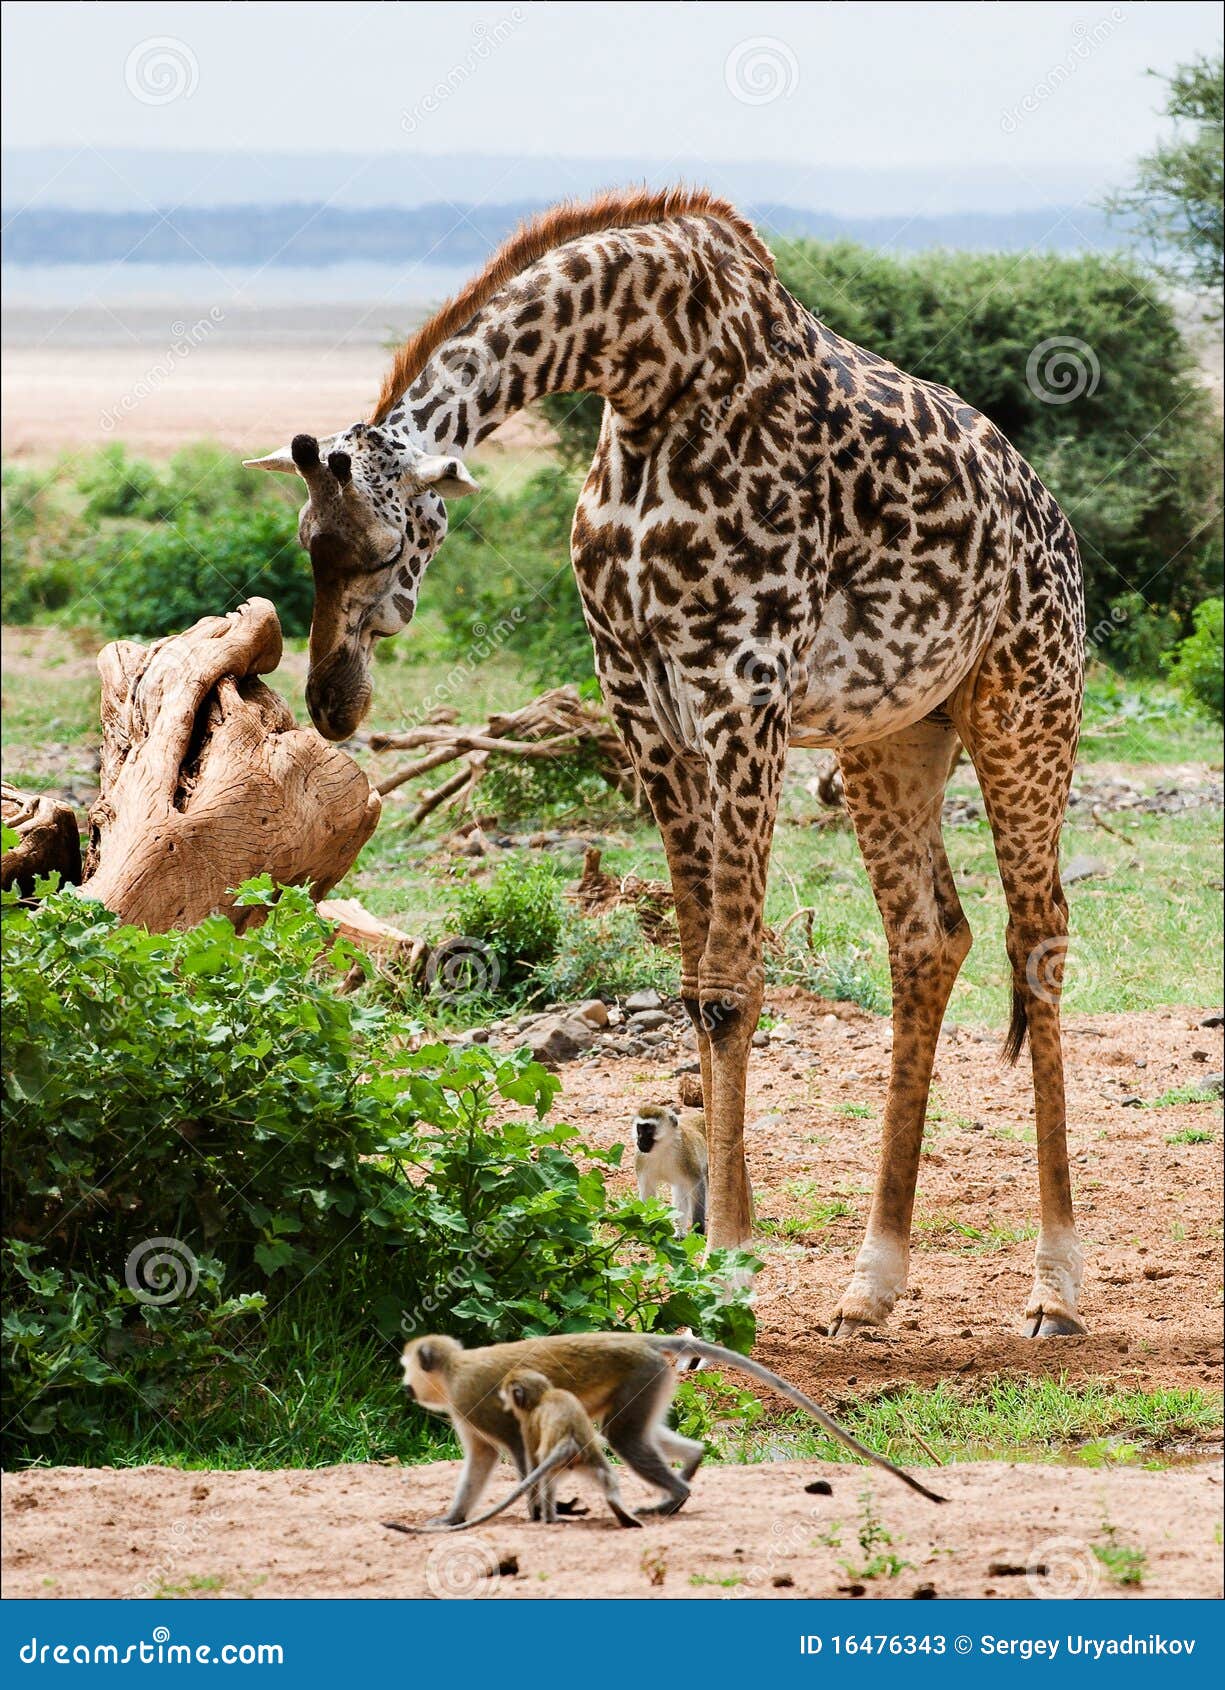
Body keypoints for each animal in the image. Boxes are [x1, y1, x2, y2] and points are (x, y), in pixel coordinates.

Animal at [389, 1331, 944, 1533]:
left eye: (407, 1367)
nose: (404, 1384)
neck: (454, 1370)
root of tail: (639, 1341)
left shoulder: (472, 1400)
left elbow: (521, 1456)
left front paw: (537, 1514)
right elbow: (481, 1462)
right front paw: (451, 1518)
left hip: (640, 1376)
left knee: (622, 1436)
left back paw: (674, 1494)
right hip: (652, 1380)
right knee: (634, 1432)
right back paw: (690, 1464)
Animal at [634, 1104, 708, 1236]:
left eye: (649, 1129)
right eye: (639, 1129)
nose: (640, 1141)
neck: (662, 1148)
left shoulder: (687, 1158)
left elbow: (697, 1187)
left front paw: (698, 1230)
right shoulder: (641, 1158)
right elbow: (648, 1191)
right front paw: (648, 1227)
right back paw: (680, 1233)